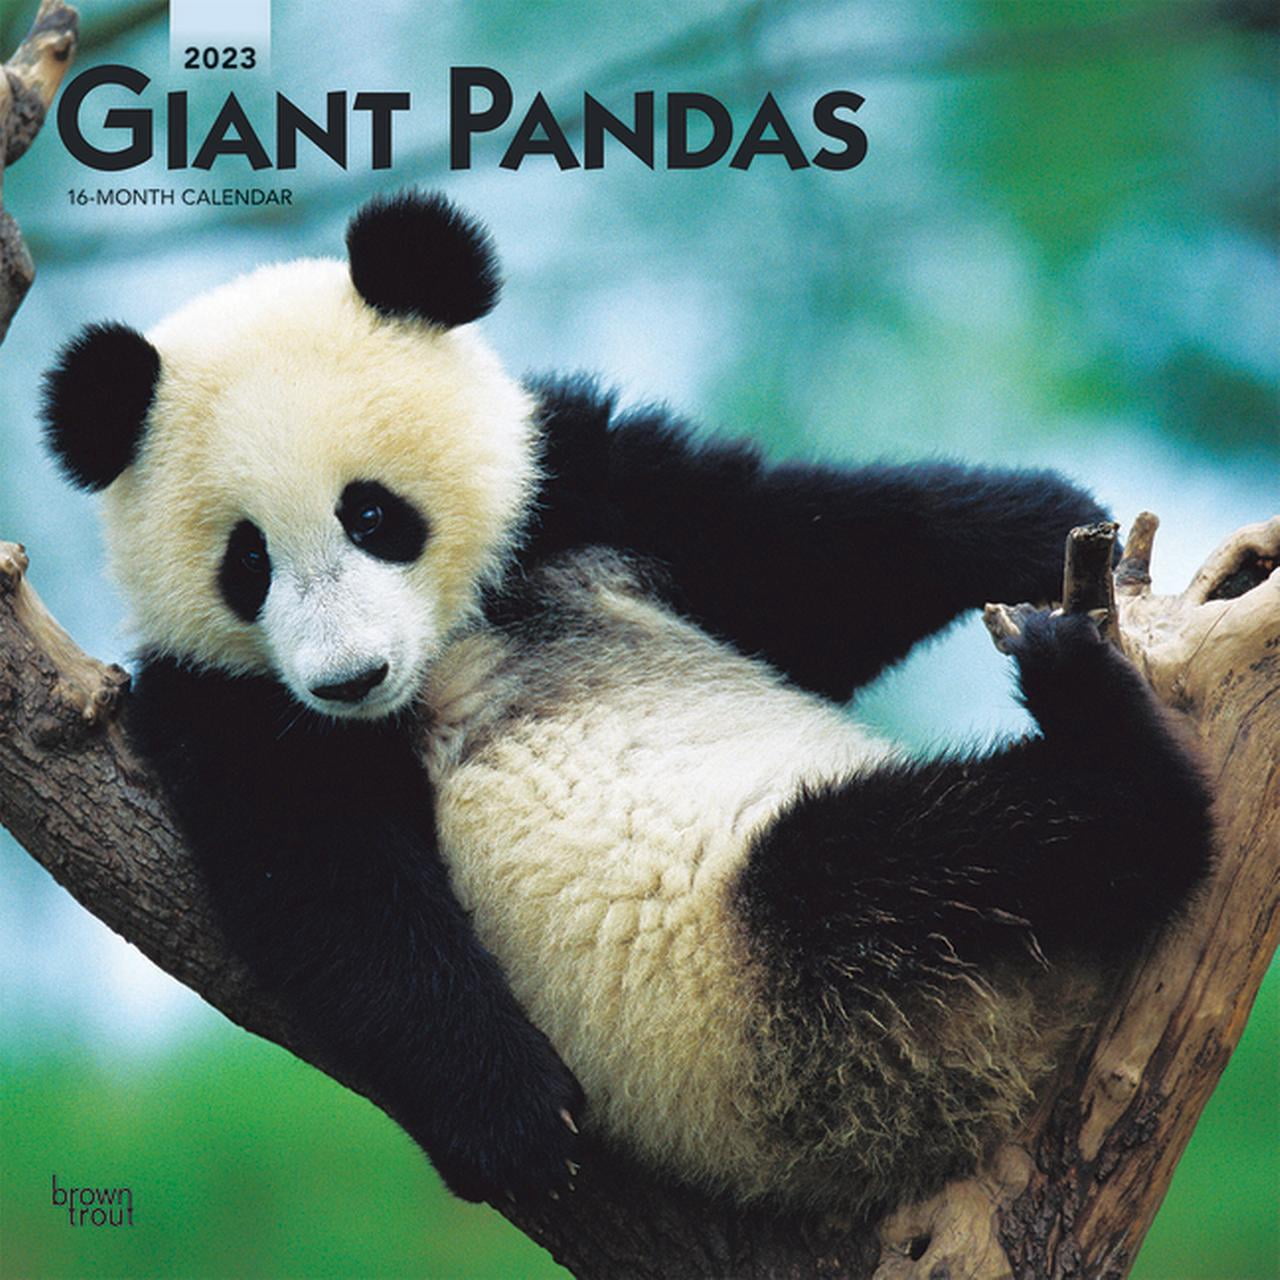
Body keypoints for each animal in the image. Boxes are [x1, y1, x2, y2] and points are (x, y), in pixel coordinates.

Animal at [40, 190, 1214, 1217]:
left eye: (371, 513)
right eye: (248, 562)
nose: (348, 677)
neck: (451, 640)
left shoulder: (580, 495)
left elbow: (804, 558)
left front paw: (1045, 518)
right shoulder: (229, 703)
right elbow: (331, 886)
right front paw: (511, 1117)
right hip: (799, 1008)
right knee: (908, 862)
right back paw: (1095, 728)